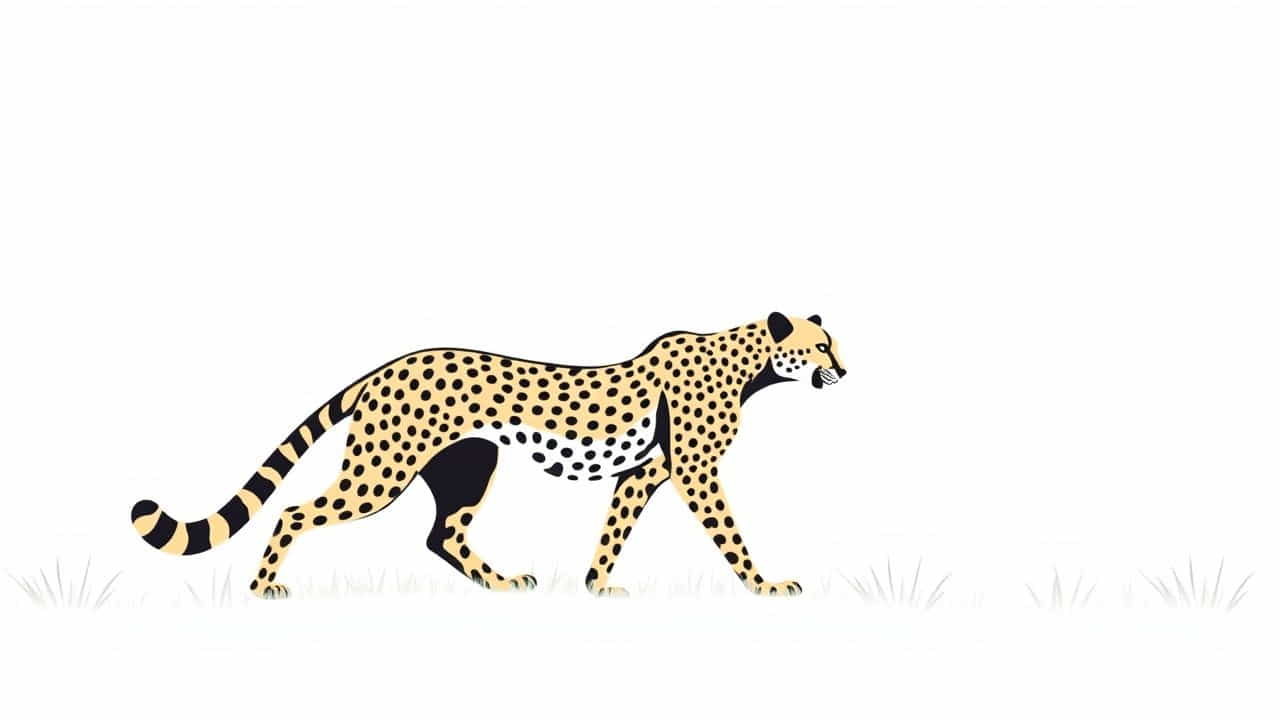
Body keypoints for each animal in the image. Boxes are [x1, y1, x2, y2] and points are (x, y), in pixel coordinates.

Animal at [130, 312, 847, 598]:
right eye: (819, 346)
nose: (843, 369)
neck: (751, 361)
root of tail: (385, 367)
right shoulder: (695, 472)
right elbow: (731, 534)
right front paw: (767, 585)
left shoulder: (646, 471)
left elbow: (615, 526)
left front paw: (597, 584)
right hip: (381, 471)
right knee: (295, 511)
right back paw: (263, 586)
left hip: (470, 465)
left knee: (441, 534)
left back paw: (500, 581)